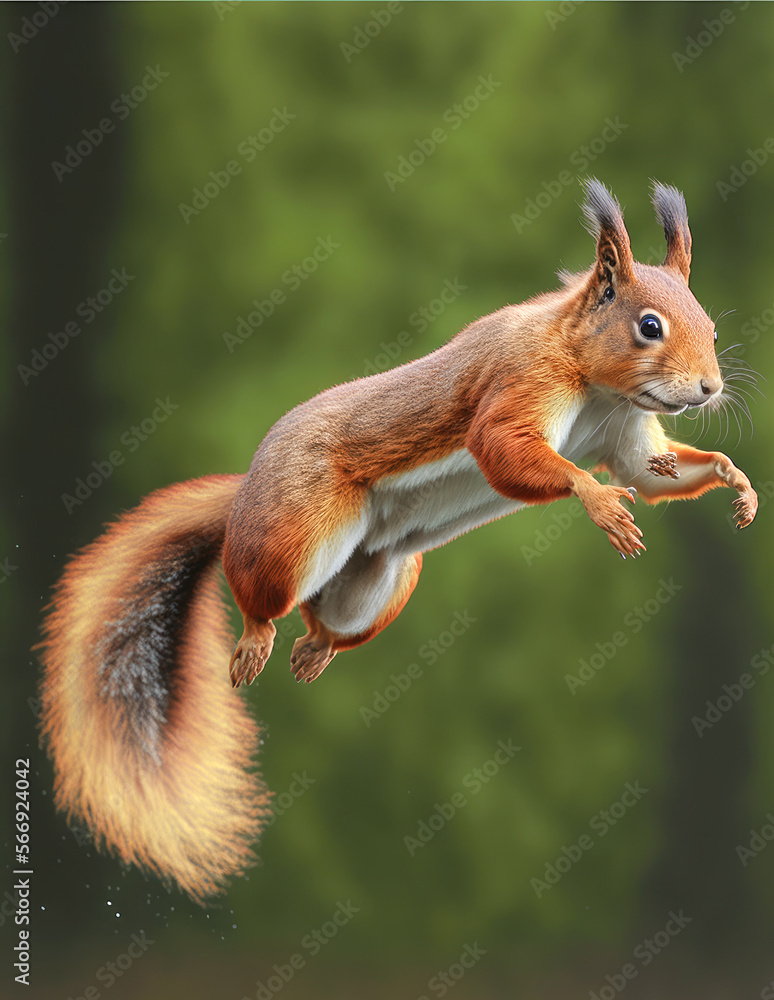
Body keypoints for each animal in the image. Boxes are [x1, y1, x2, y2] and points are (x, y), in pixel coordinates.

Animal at [39, 179, 758, 903]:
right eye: (649, 326)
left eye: (711, 328)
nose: (709, 388)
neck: (599, 385)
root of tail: (245, 495)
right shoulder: (519, 383)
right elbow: (506, 449)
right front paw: (601, 503)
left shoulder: (627, 435)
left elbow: (650, 473)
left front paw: (737, 481)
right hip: (295, 532)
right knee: (263, 596)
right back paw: (255, 641)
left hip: (382, 580)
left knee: (324, 619)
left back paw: (316, 650)